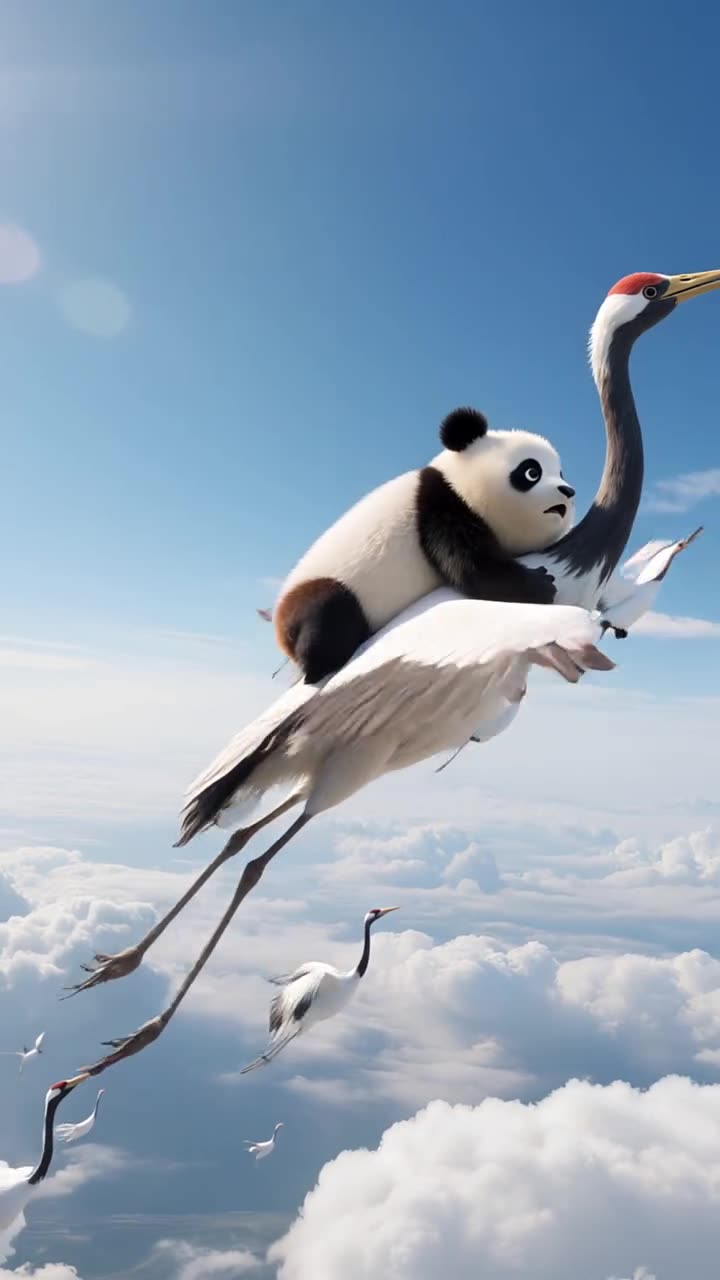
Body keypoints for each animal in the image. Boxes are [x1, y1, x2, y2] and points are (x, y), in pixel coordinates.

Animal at [273, 407, 576, 684]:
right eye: (531, 471)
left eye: (561, 471)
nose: (568, 491)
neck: (458, 479)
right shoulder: (440, 508)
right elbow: (473, 566)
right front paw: (542, 583)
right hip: (322, 595)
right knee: (330, 619)